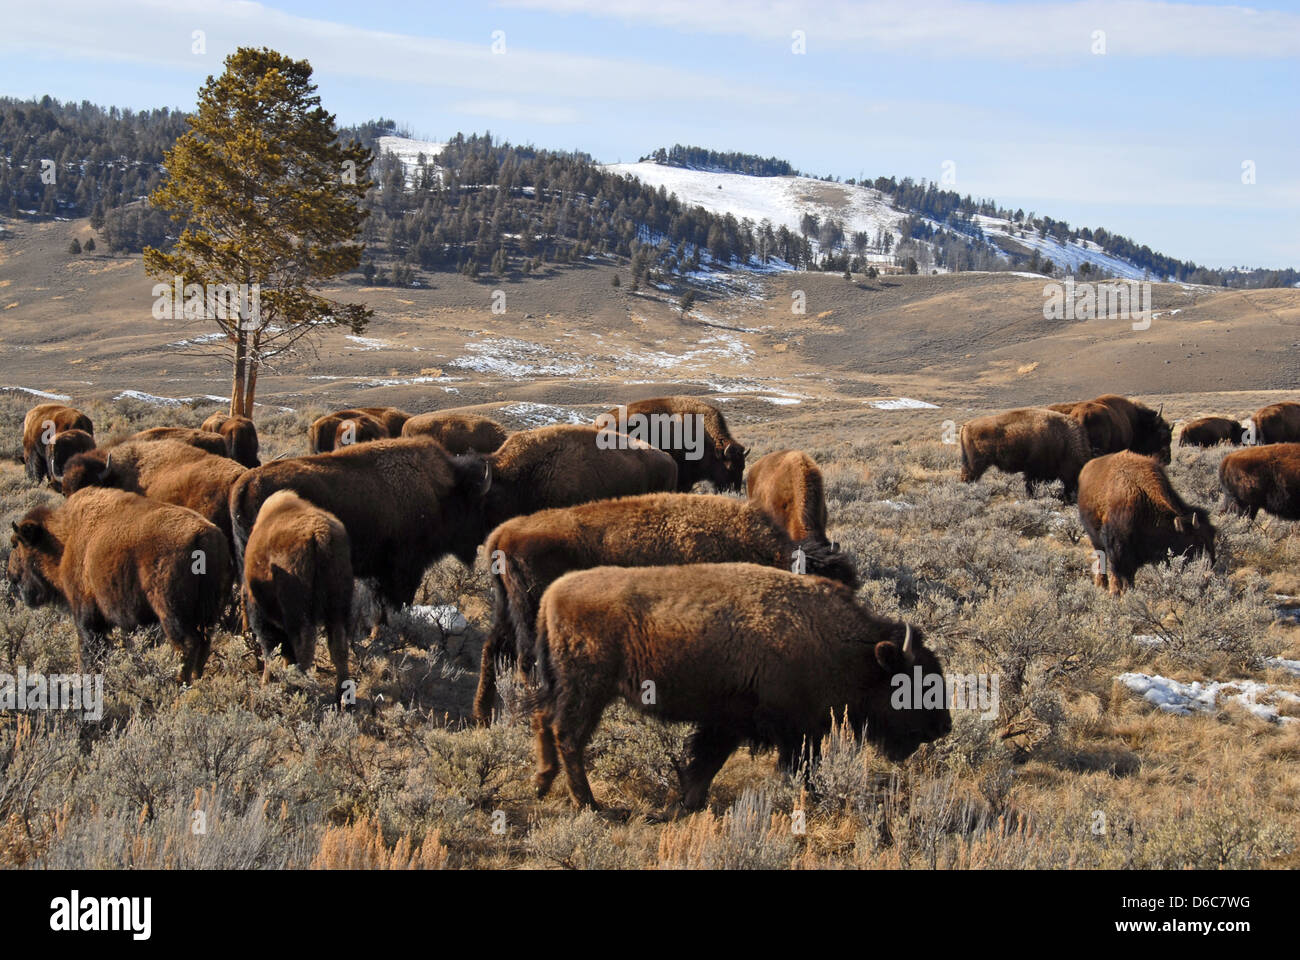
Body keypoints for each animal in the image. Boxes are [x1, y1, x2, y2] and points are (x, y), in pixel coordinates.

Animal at [530, 563, 950, 810]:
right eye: (912, 683)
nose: (943, 725)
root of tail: (552, 594)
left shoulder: (729, 721)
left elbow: (706, 762)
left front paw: (688, 803)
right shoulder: (796, 730)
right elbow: (803, 770)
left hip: (570, 688)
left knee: (543, 721)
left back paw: (543, 784)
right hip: (587, 690)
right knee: (568, 735)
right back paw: (589, 804)